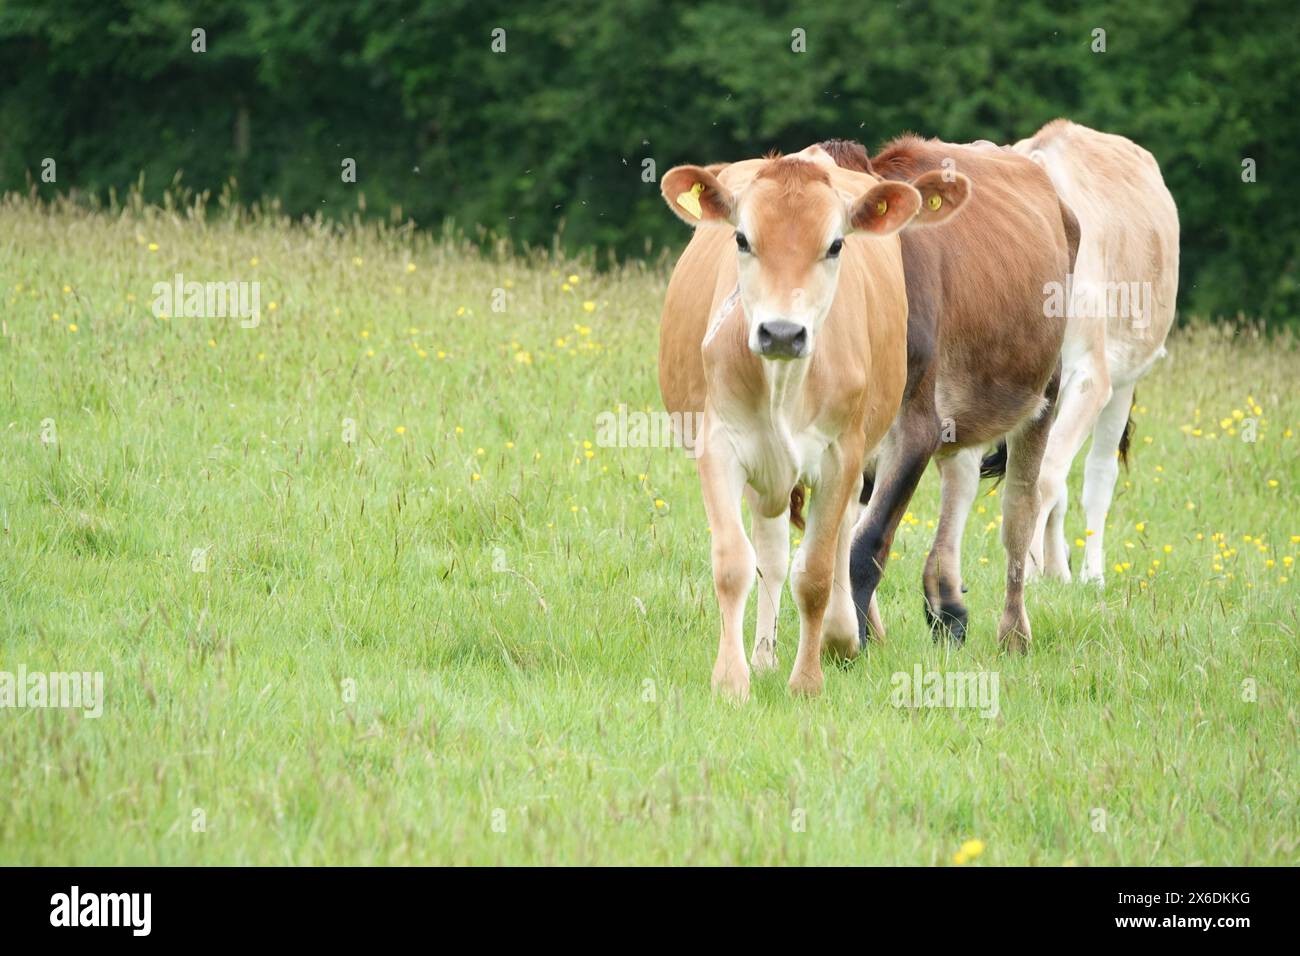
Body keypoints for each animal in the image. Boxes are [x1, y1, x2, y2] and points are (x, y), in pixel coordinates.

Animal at [658, 148, 969, 698]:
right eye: (742, 238)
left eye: (836, 244)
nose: (782, 331)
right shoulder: (720, 448)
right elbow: (735, 563)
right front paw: (732, 679)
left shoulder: (841, 456)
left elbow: (818, 573)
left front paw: (808, 678)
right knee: (772, 554)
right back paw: (764, 655)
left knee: (840, 538)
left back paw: (841, 635)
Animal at [819, 136, 1078, 652]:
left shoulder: (915, 427)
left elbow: (868, 541)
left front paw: (853, 644)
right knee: (959, 478)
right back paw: (948, 607)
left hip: (1043, 392)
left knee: (1019, 515)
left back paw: (1013, 635)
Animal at [1010, 120, 1180, 584]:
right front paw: (1041, 568)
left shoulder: (1090, 377)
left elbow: (1047, 477)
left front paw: (1030, 574)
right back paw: (1061, 567)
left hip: (1123, 383)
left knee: (1098, 476)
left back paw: (1092, 575)